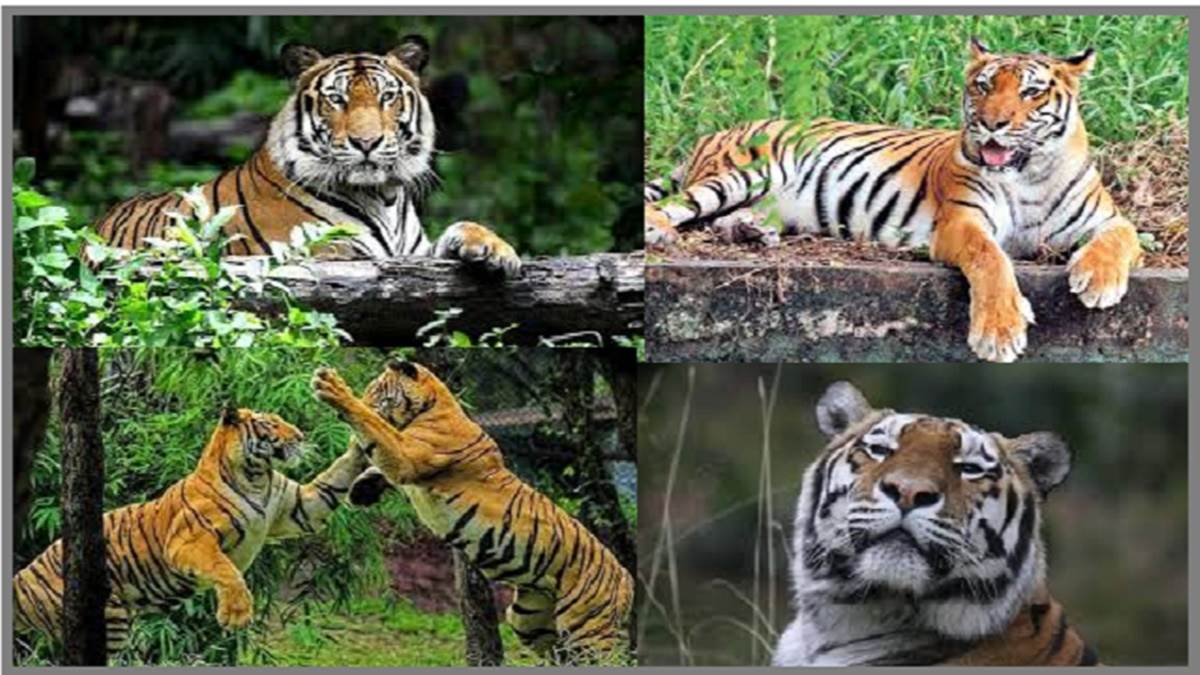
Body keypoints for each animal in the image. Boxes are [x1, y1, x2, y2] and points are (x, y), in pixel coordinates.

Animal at [13, 407, 370, 659]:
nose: (300, 435)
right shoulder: (189, 541)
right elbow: (224, 569)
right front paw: (236, 615)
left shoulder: (299, 508)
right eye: (270, 424)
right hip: (104, 620)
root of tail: (25, 573)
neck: (257, 477)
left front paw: (361, 441)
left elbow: (335, 478)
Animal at [93, 37, 520, 275]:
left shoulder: (412, 254)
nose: (367, 142)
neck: (383, 196)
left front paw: (496, 250)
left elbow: (461, 228)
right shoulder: (321, 254)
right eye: (337, 99)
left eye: (386, 96)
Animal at [309, 360, 634, 663]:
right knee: (558, 654)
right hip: (528, 619)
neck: (433, 407)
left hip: (588, 631)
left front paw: (335, 390)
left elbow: (375, 428)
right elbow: (378, 461)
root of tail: (626, 579)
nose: (363, 398)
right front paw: (361, 490)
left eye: (376, 392)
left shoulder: (407, 455)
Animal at [644, 38, 1143, 363]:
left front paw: (1099, 281)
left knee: (719, 221)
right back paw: (660, 229)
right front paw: (999, 332)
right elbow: (991, 258)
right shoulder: (962, 222)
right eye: (983, 87)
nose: (991, 123)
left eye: (1030, 91)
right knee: (678, 204)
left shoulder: (1106, 218)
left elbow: (1123, 237)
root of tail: (716, 133)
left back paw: (752, 230)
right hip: (744, 172)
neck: (1028, 175)